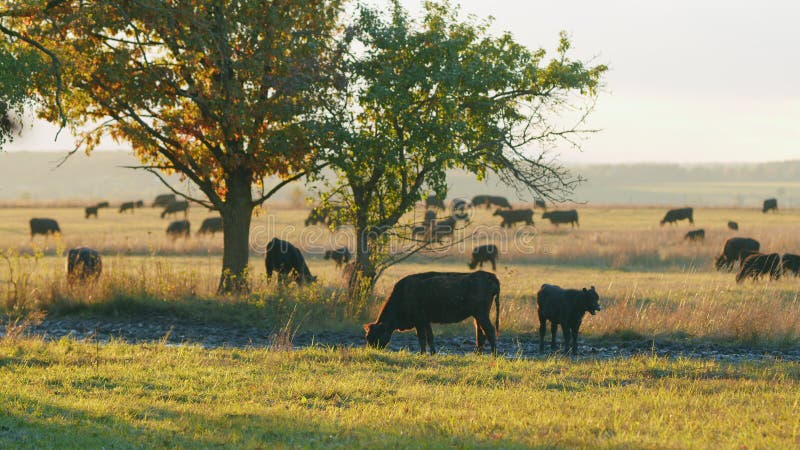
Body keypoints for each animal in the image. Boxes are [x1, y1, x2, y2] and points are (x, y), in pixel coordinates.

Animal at [364, 271, 501, 355]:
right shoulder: (425, 321)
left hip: (481, 315)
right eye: (367, 336)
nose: (372, 349)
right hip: (477, 316)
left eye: (377, 335)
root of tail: (490, 276)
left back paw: (494, 354)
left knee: (489, 330)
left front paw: (422, 353)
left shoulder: (419, 321)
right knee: (480, 333)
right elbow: (429, 337)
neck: (403, 294)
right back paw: (478, 354)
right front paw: (432, 353)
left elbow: (422, 338)